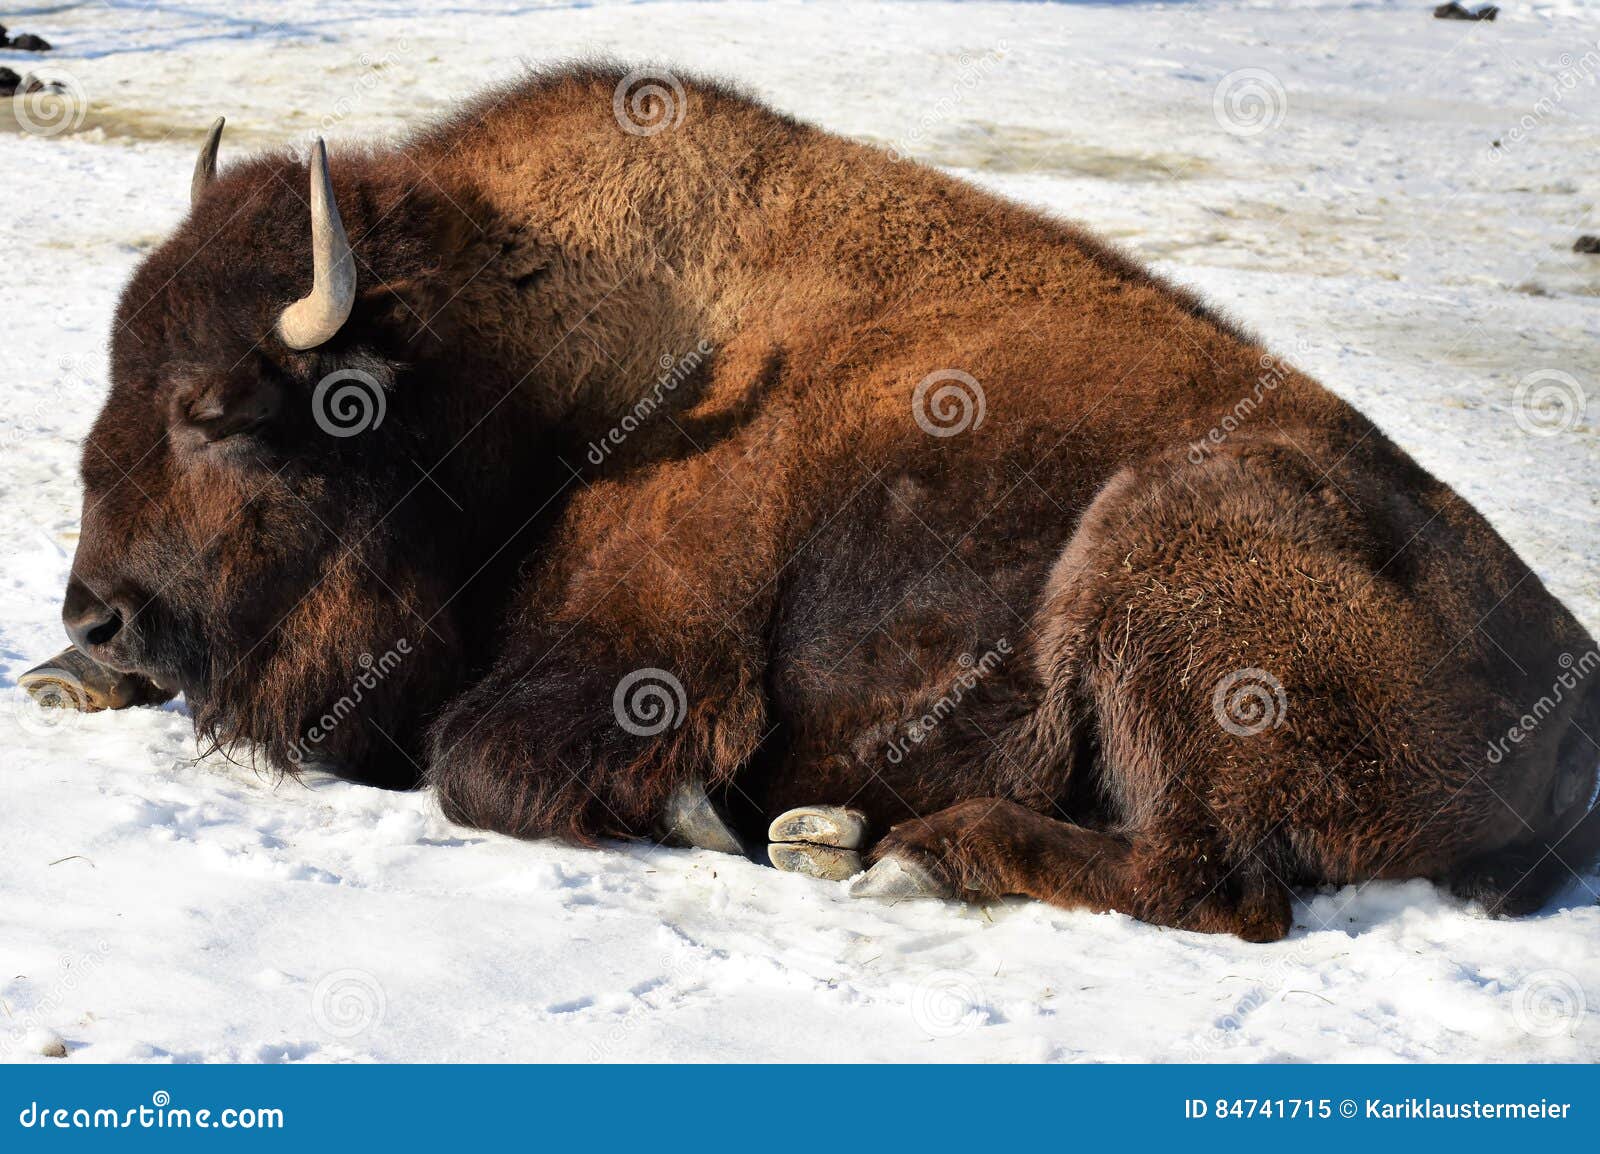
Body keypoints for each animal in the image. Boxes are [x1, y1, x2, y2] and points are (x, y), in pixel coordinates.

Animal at [59, 65, 1599, 940]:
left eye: (217, 408)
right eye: (117, 369)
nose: (97, 615)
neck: (530, 355)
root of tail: (1570, 688)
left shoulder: (649, 658)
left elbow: (478, 762)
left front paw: (709, 819)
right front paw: (62, 681)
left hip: (1154, 556)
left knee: (1221, 883)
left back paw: (904, 852)